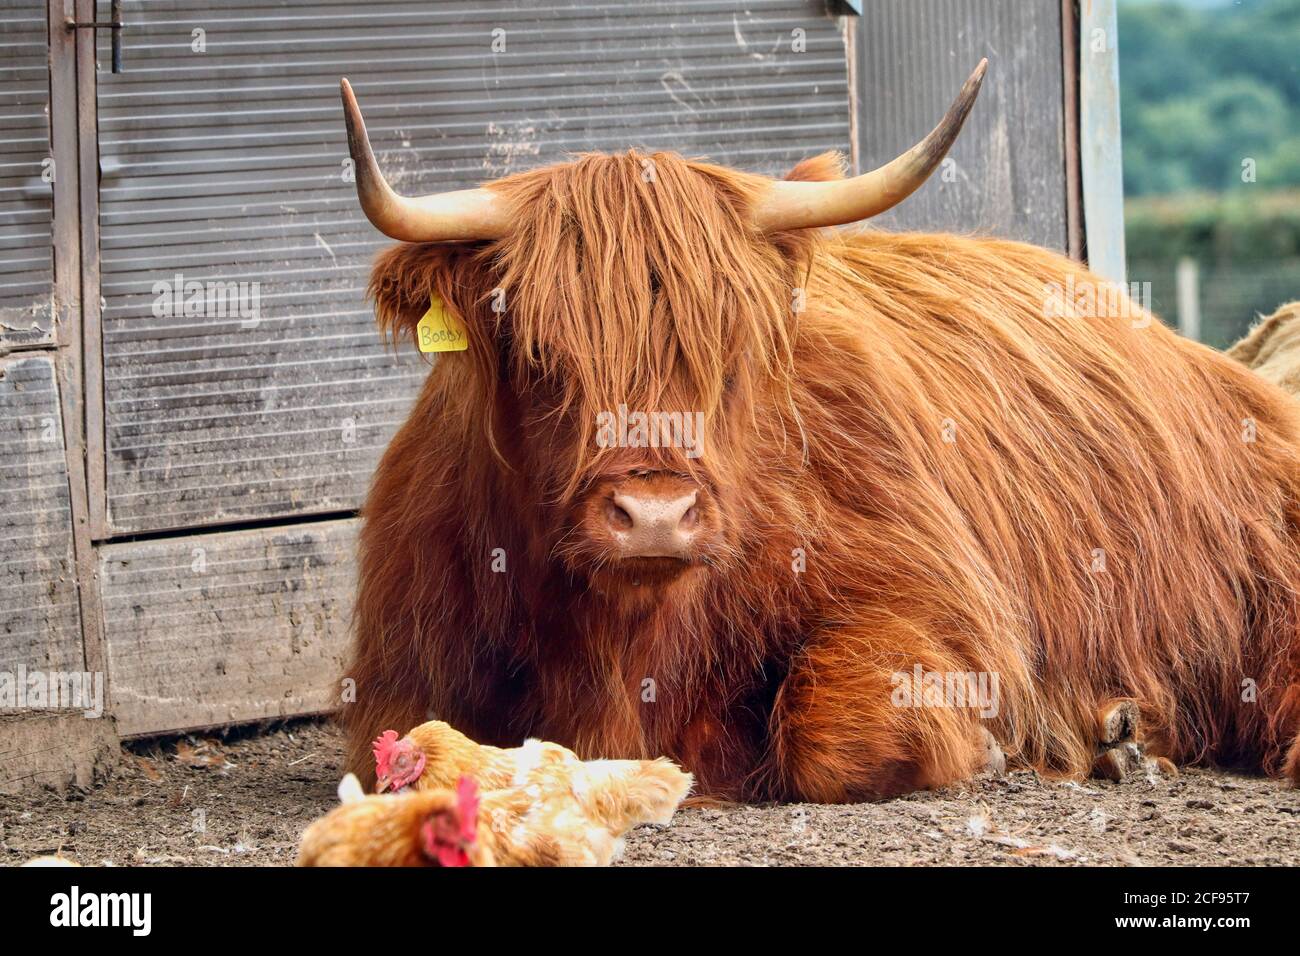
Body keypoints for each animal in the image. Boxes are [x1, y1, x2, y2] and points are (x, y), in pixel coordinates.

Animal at [337, 63, 1300, 801]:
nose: (655, 515)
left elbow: (829, 727)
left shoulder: (927, 597)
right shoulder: (405, 669)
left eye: (731, 352)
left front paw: (992, 745)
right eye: (539, 355)